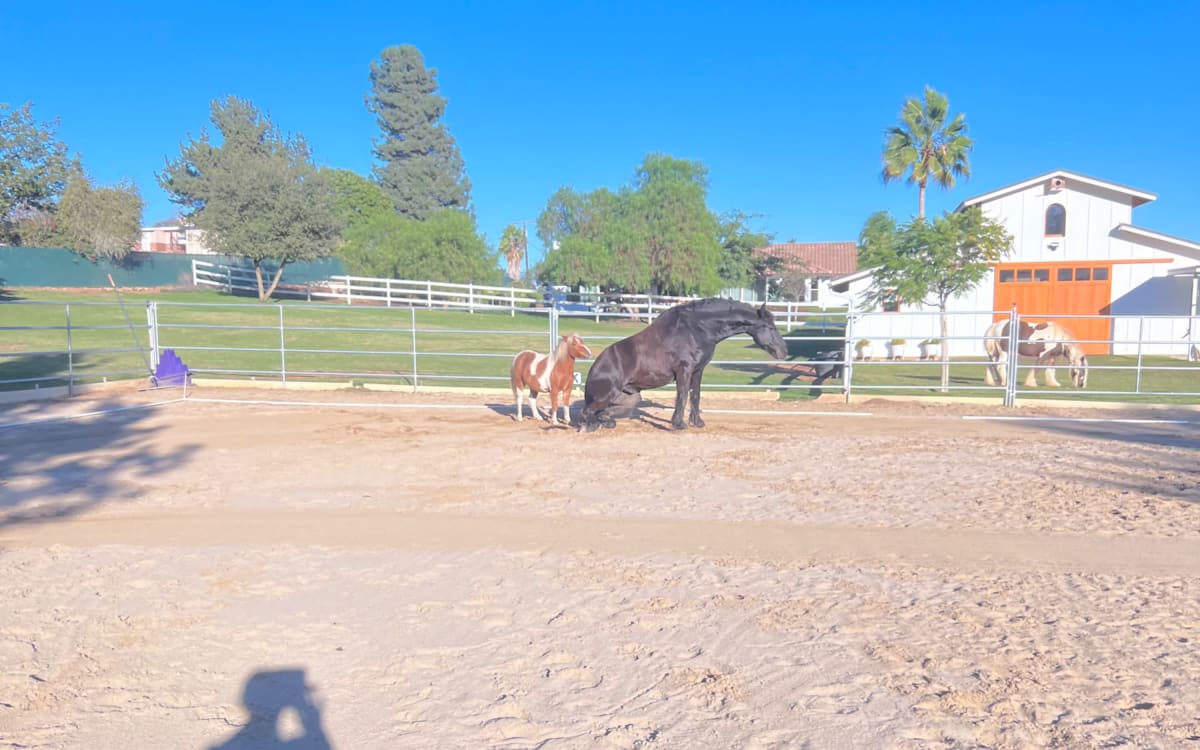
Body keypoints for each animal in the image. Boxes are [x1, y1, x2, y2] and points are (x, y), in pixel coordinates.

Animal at [580, 298, 789, 432]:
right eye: (771, 327)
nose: (783, 352)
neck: (697, 328)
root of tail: (594, 371)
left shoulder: (698, 370)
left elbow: (695, 396)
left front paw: (697, 422)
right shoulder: (684, 370)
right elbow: (682, 397)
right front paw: (678, 424)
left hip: (630, 400)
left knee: (602, 413)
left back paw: (606, 423)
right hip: (609, 395)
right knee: (588, 411)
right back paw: (589, 426)